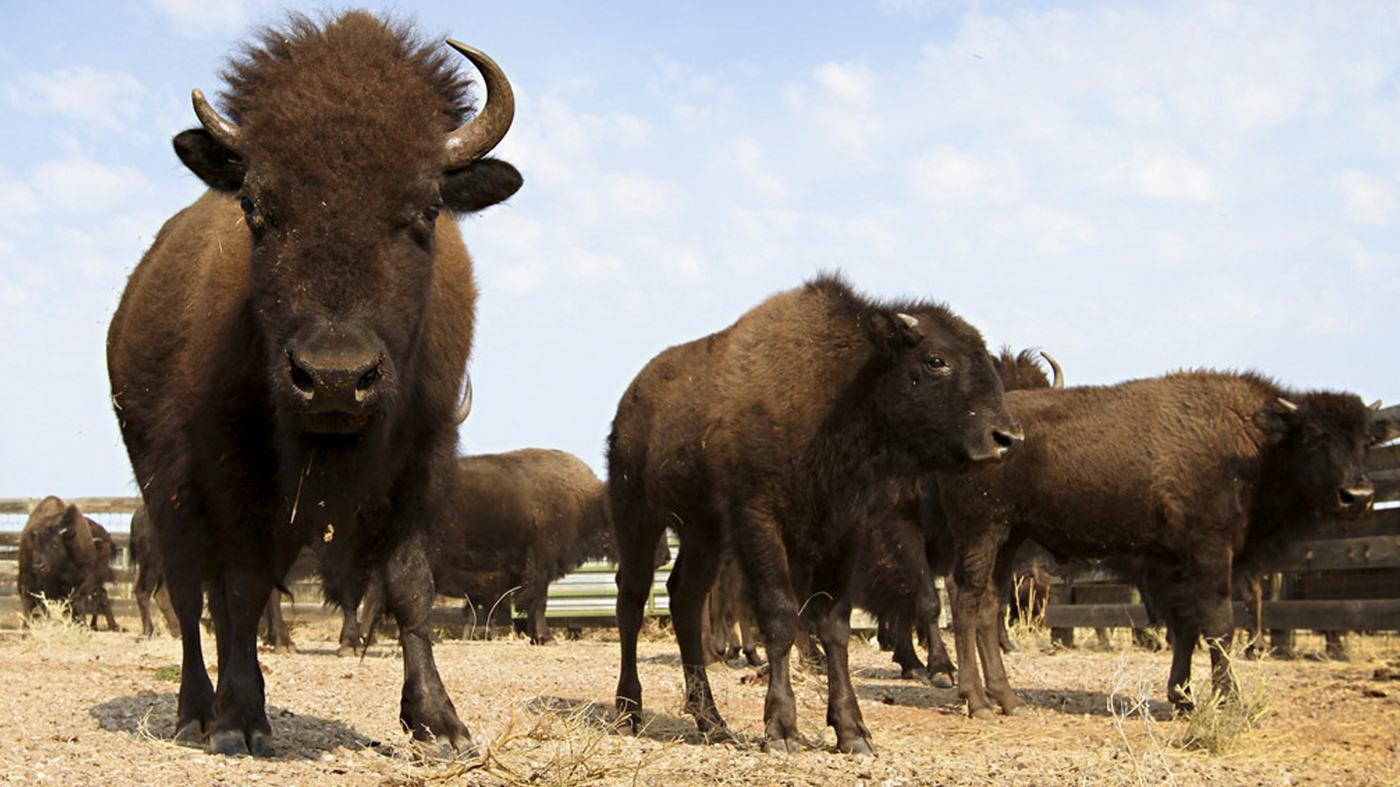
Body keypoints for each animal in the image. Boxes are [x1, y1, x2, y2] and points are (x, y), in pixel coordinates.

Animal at [106, 11, 519, 757]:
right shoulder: (230, 474)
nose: (333, 378)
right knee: (189, 599)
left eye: (428, 207)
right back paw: (196, 711)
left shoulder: (424, 456)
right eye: (253, 204)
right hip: (163, 497)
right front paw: (240, 721)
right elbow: (241, 590)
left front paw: (439, 723)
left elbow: (409, 584)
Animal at [608, 273, 1021, 754]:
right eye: (936, 360)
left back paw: (712, 721)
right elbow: (780, 615)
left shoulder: (845, 529)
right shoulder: (758, 519)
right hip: (638, 515)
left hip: (702, 532)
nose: (1007, 438)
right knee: (631, 600)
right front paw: (782, 729)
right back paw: (630, 711)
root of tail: (630, 401)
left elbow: (833, 624)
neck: (840, 388)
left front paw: (852, 731)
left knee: (684, 599)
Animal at [938, 370, 1397, 718]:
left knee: (989, 604)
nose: (1358, 496)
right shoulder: (1211, 553)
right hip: (983, 530)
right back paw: (977, 702)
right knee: (965, 599)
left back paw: (1009, 700)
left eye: (1366, 441)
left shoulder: (1175, 564)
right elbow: (1219, 626)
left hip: (1010, 535)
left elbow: (1188, 626)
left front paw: (1184, 698)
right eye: (1314, 438)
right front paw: (1228, 701)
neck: (1255, 446)